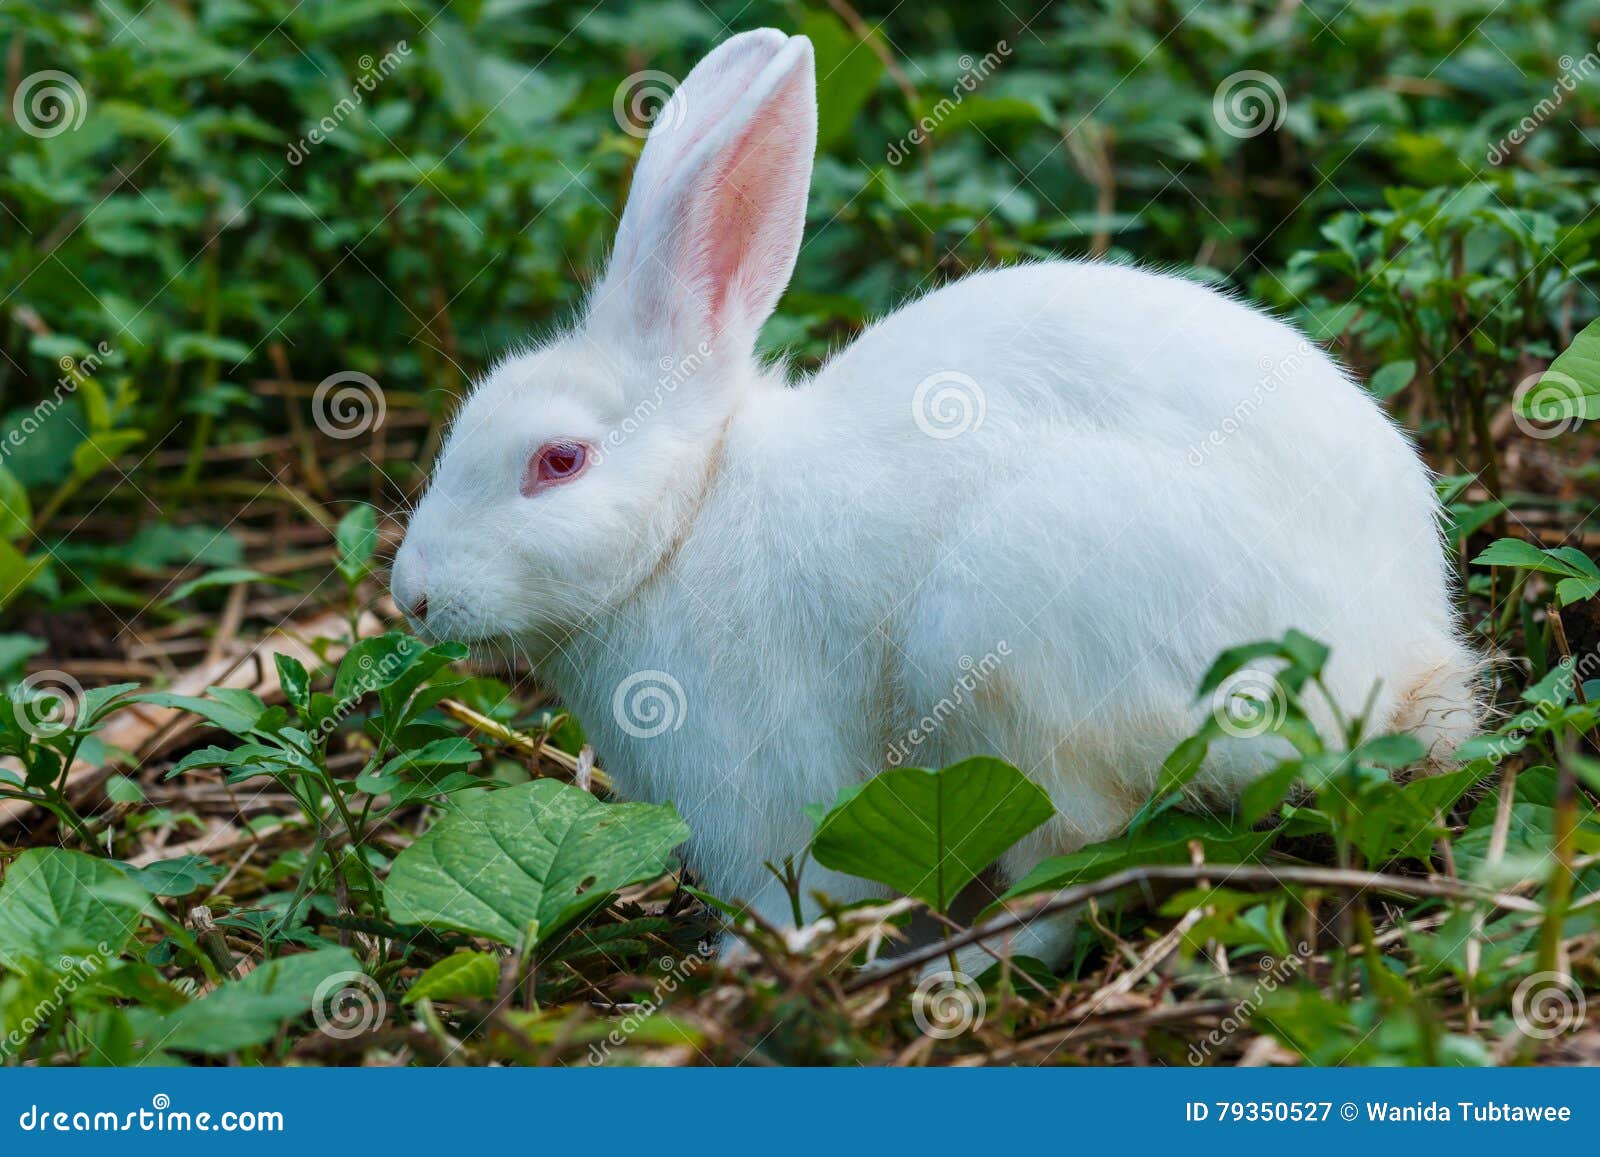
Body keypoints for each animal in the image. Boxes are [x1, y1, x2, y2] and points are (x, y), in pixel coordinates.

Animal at [390, 28, 1479, 971]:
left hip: (1012, 657)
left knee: (1072, 869)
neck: (689, 518)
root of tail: (1402, 662)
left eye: (559, 461)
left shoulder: (773, 796)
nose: (411, 597)